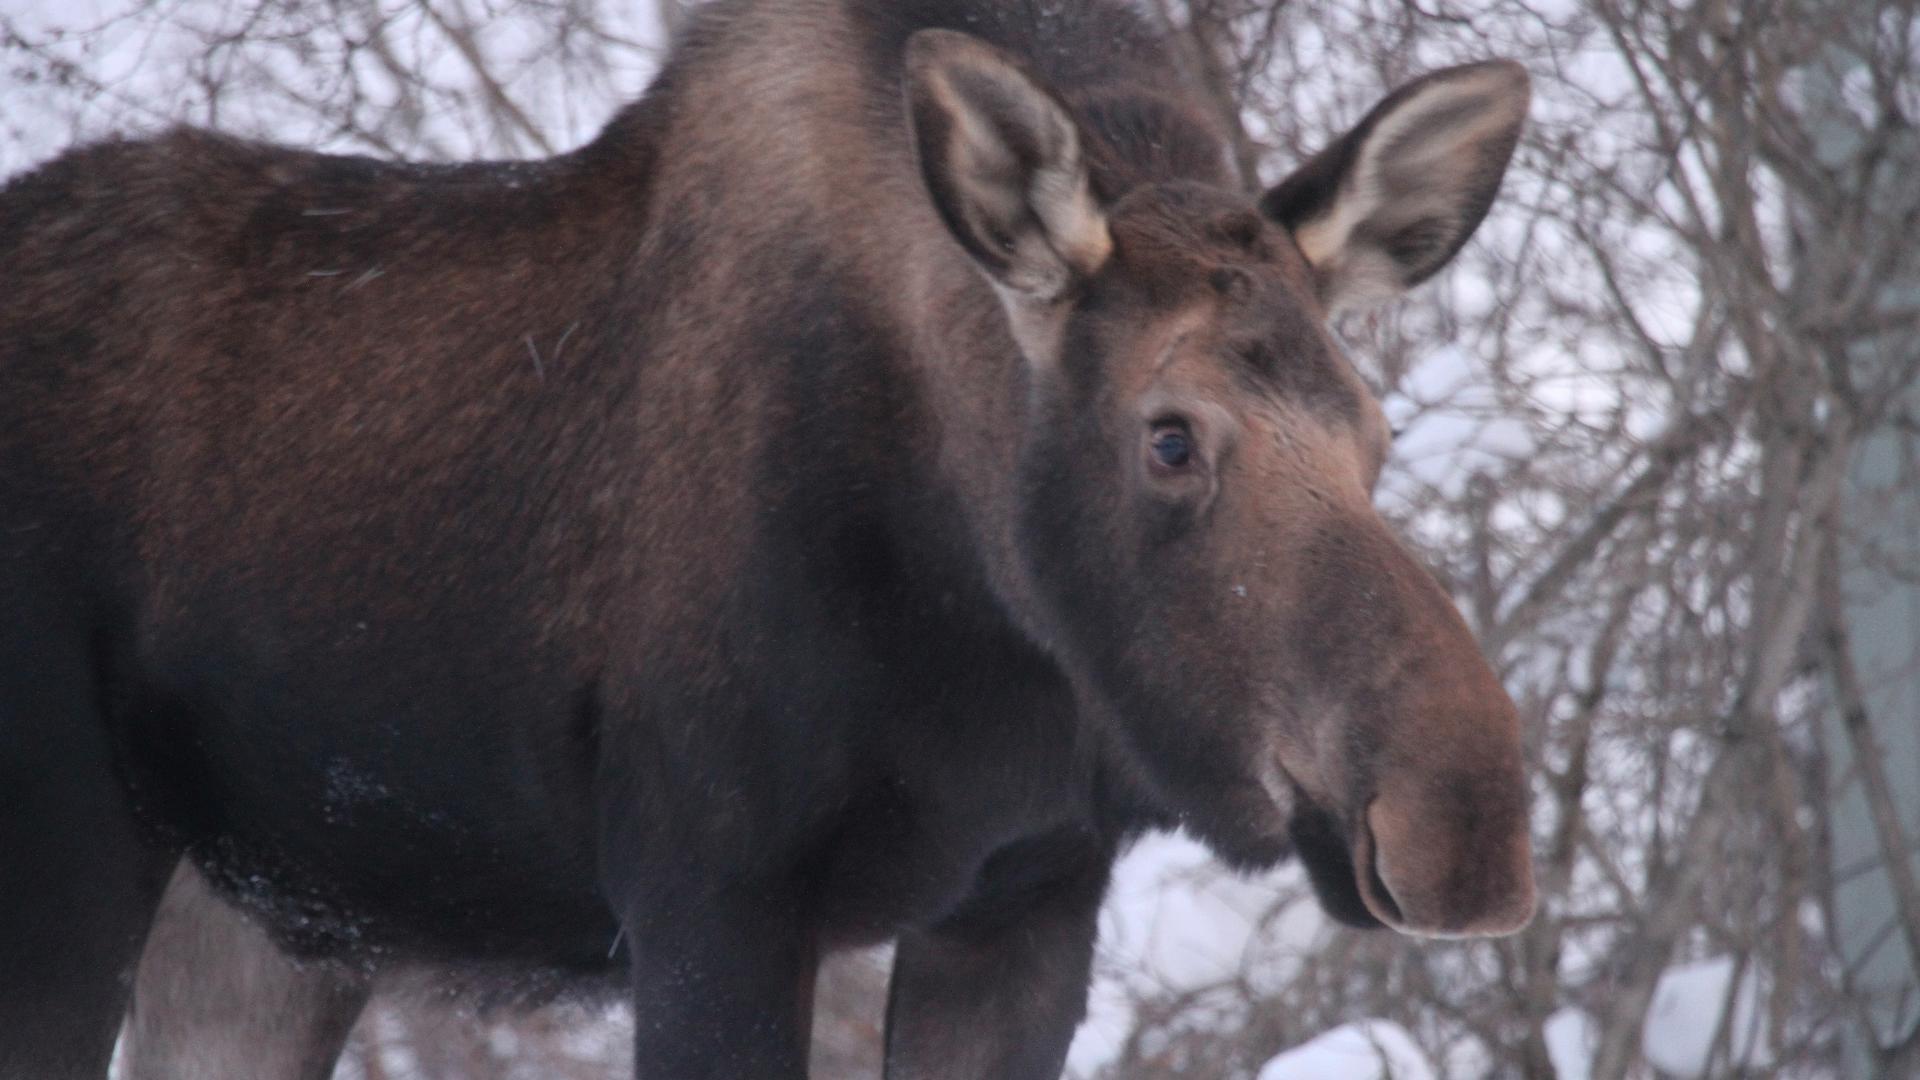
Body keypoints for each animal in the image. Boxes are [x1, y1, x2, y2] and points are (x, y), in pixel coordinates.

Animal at [0, 0, 1536, 1075]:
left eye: (1374, 428)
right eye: (1169, 435)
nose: (1463, 820)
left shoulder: (1025, 902)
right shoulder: (712, 895)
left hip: (260, 922)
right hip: (74, 860)